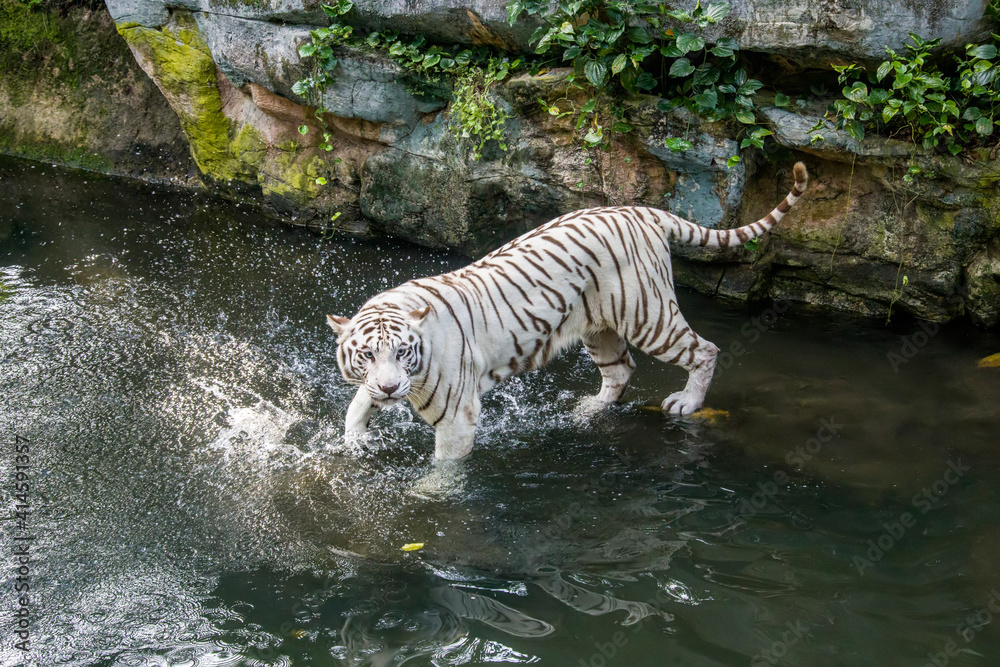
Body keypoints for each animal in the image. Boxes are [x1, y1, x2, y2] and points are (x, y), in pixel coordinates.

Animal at [327, 161, 809, 459]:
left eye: (403, 352)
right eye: (367, 354)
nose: (391, 388)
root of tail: (643, 210)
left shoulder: (457, 415)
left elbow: (444, 467)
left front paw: (429, 494)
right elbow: (355, 407)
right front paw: (353, 444)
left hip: (649, 315)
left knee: (705, 349)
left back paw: (686, 402)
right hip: (600, 327)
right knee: (621, 370)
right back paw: (585, 412)